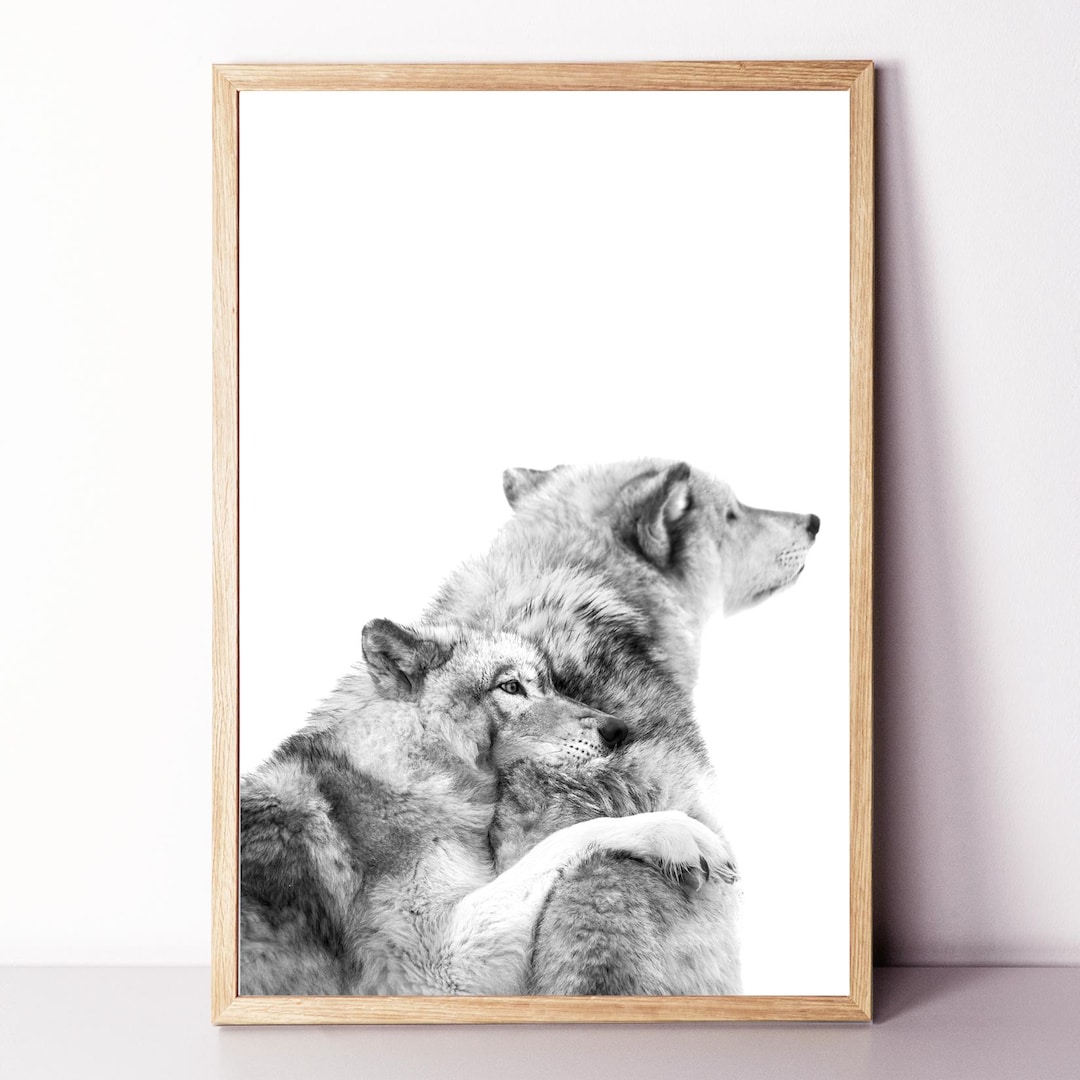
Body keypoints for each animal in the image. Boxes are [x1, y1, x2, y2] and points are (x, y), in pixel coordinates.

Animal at [239, 617, 731, 996]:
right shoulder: (436, 970)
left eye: (551, 685)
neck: (414, 769)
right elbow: (566, 837)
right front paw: (676, 832)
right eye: (511, 687)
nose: (618, 730)